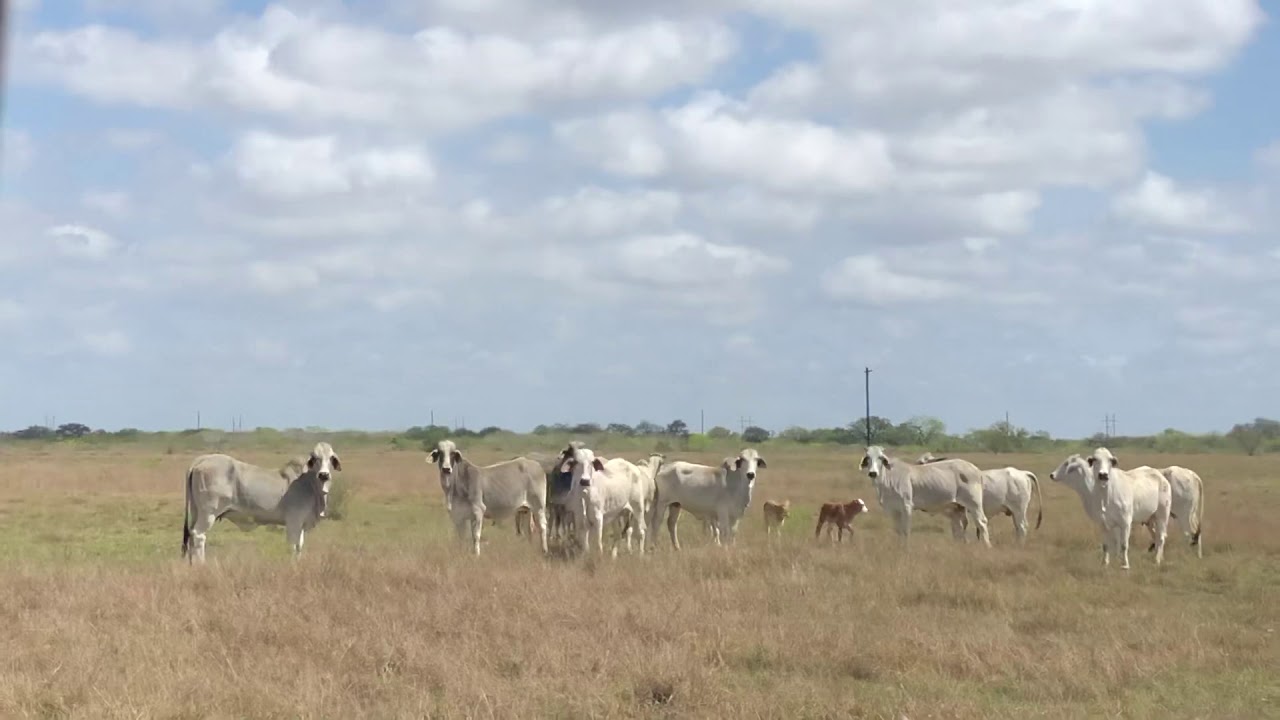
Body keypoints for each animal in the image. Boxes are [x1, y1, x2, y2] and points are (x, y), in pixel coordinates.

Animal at [181, 442, 342, 563]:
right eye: (315, 458)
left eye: (331, 457)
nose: (324, 474)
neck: (309, 483)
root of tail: (202, 459)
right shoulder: (293, 522)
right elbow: (293, 546)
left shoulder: (301, 524)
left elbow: (299, 547)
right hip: (208, 514)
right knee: (199, 535)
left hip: (196, 512)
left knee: (191, 537)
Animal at [859, 445, 990, 547]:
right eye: (868, 457)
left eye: (881, 457)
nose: (873, 473)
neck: (887, 479)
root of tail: (976, 469)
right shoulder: (892, 510)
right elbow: (898, 531)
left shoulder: (906, 507)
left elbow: (905, 530)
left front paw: (906, 550)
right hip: (956, 508)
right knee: (959, 527)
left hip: (974, 503)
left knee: (982, 522)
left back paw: (987, 546)